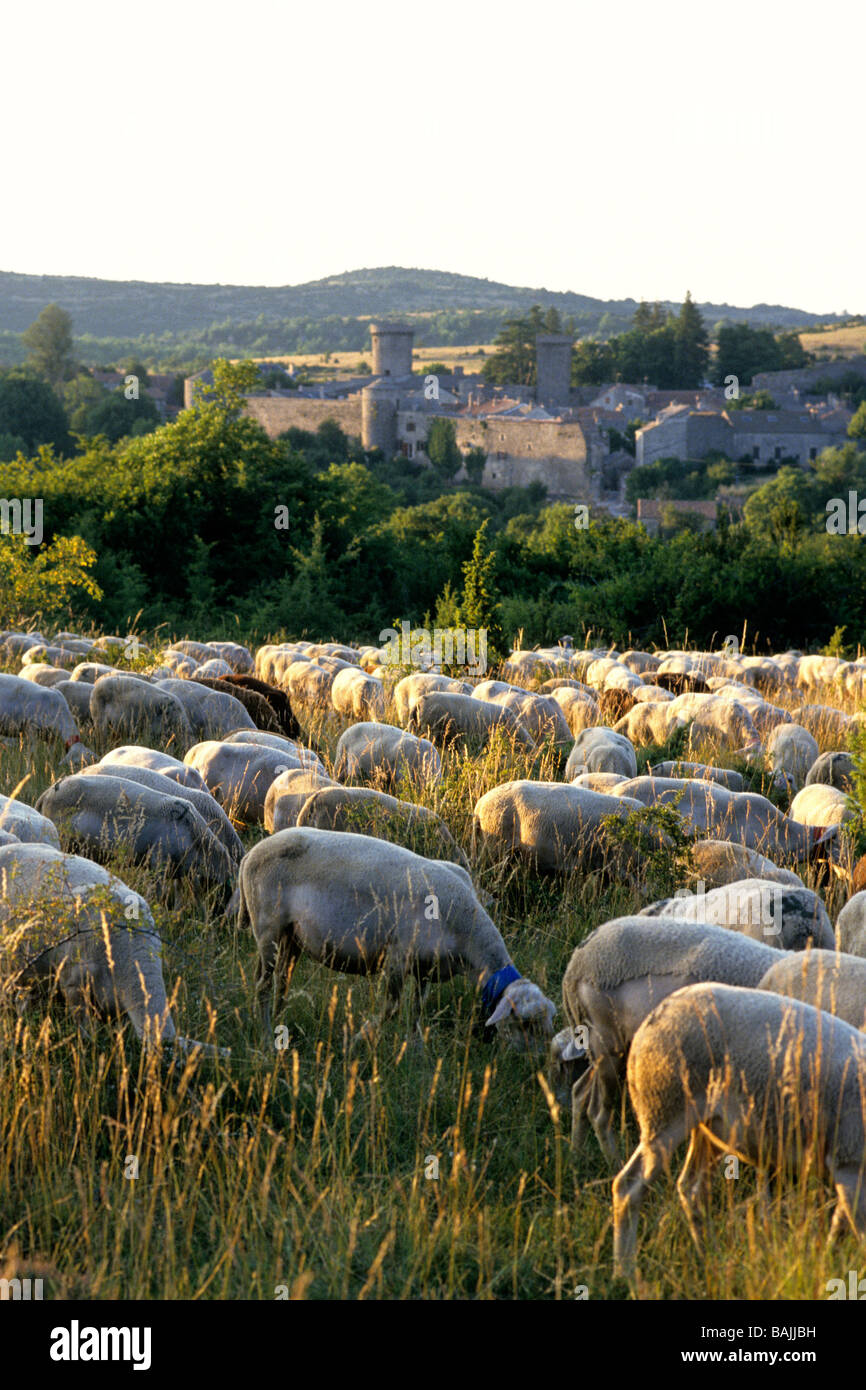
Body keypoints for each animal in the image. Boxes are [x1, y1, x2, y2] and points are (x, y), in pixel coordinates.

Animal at [236, 827, 556, 1047]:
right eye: (526, 1025)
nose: (540, 1064)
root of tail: (250, 854)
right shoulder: (397, 957)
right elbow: (392, 1009)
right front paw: (356, 1041)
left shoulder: (426, 968)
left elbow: (417, 1009)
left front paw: (415, 1050)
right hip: (267, 925)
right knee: (263, 984)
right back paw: (266, 1035)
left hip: (291, 935)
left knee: (281, 980)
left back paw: (278, 1023)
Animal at [562, 919, 782, 1161]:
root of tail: (576, 964)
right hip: (606, 1042)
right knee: (598, 1113)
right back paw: (614, 1162)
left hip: (602, 1045)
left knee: (579, 1092)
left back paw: (575, 1154)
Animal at [612, 984, 866, 1277]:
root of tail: (657, 1013)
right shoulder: (850, 1162)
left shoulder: (849, 1168)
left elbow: (839, 1228)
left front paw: (827, 1262)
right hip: (664, 1108)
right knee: (628, 1187)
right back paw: (625, 1273)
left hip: (709, 1126)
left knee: (691, 1188)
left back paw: (709, 1257)